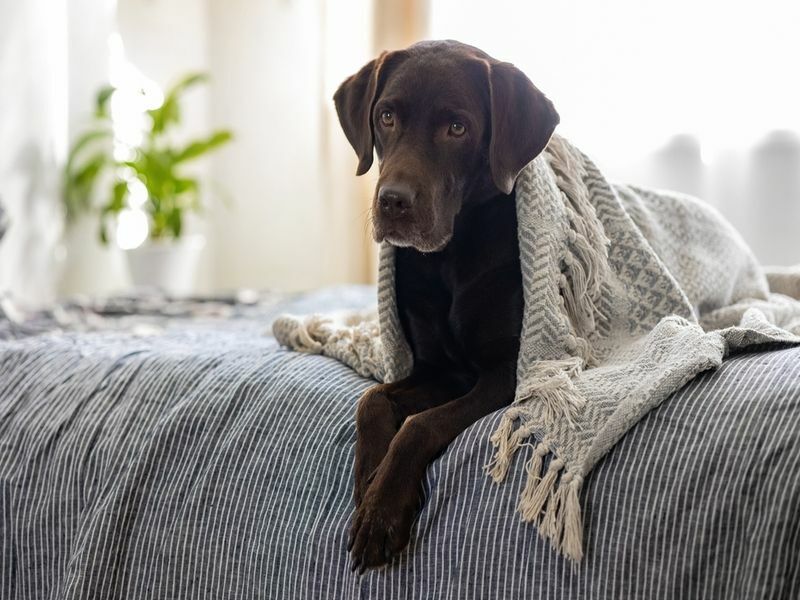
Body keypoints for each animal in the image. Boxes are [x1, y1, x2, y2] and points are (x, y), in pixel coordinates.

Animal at [334, 41, 560, 572]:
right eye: (386, 116)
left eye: (457, 127)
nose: (392, 202)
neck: (448, 260)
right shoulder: (438, 369)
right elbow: (371, 399)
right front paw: (368, 478)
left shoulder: (503, 374)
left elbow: (419, 426)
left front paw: (381, 512)